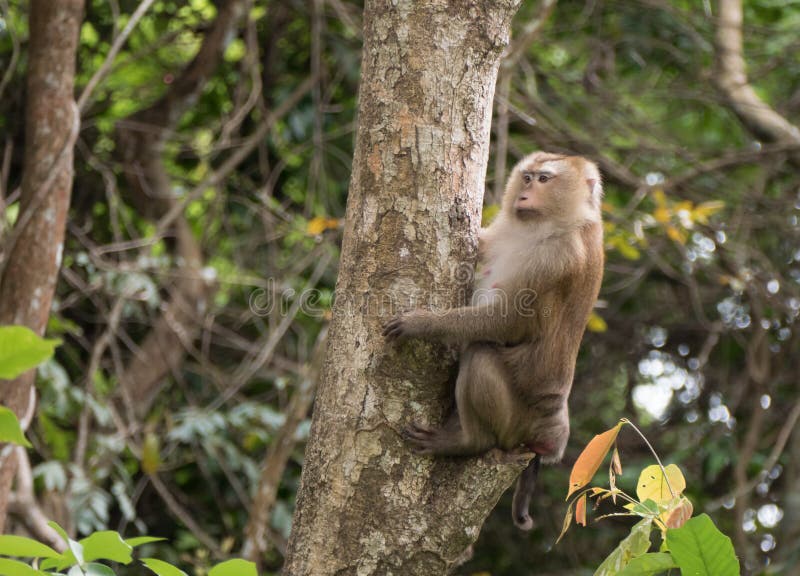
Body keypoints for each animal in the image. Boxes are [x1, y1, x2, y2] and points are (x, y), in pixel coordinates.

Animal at [383, 151, 604, 530]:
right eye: (527, 177)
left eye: (544, 179)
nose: (524, 195)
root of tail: (550, 430)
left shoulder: (557, 257)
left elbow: (508, 323)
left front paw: (423, 324)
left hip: (517, 423)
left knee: (480, 354)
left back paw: (468, 441)